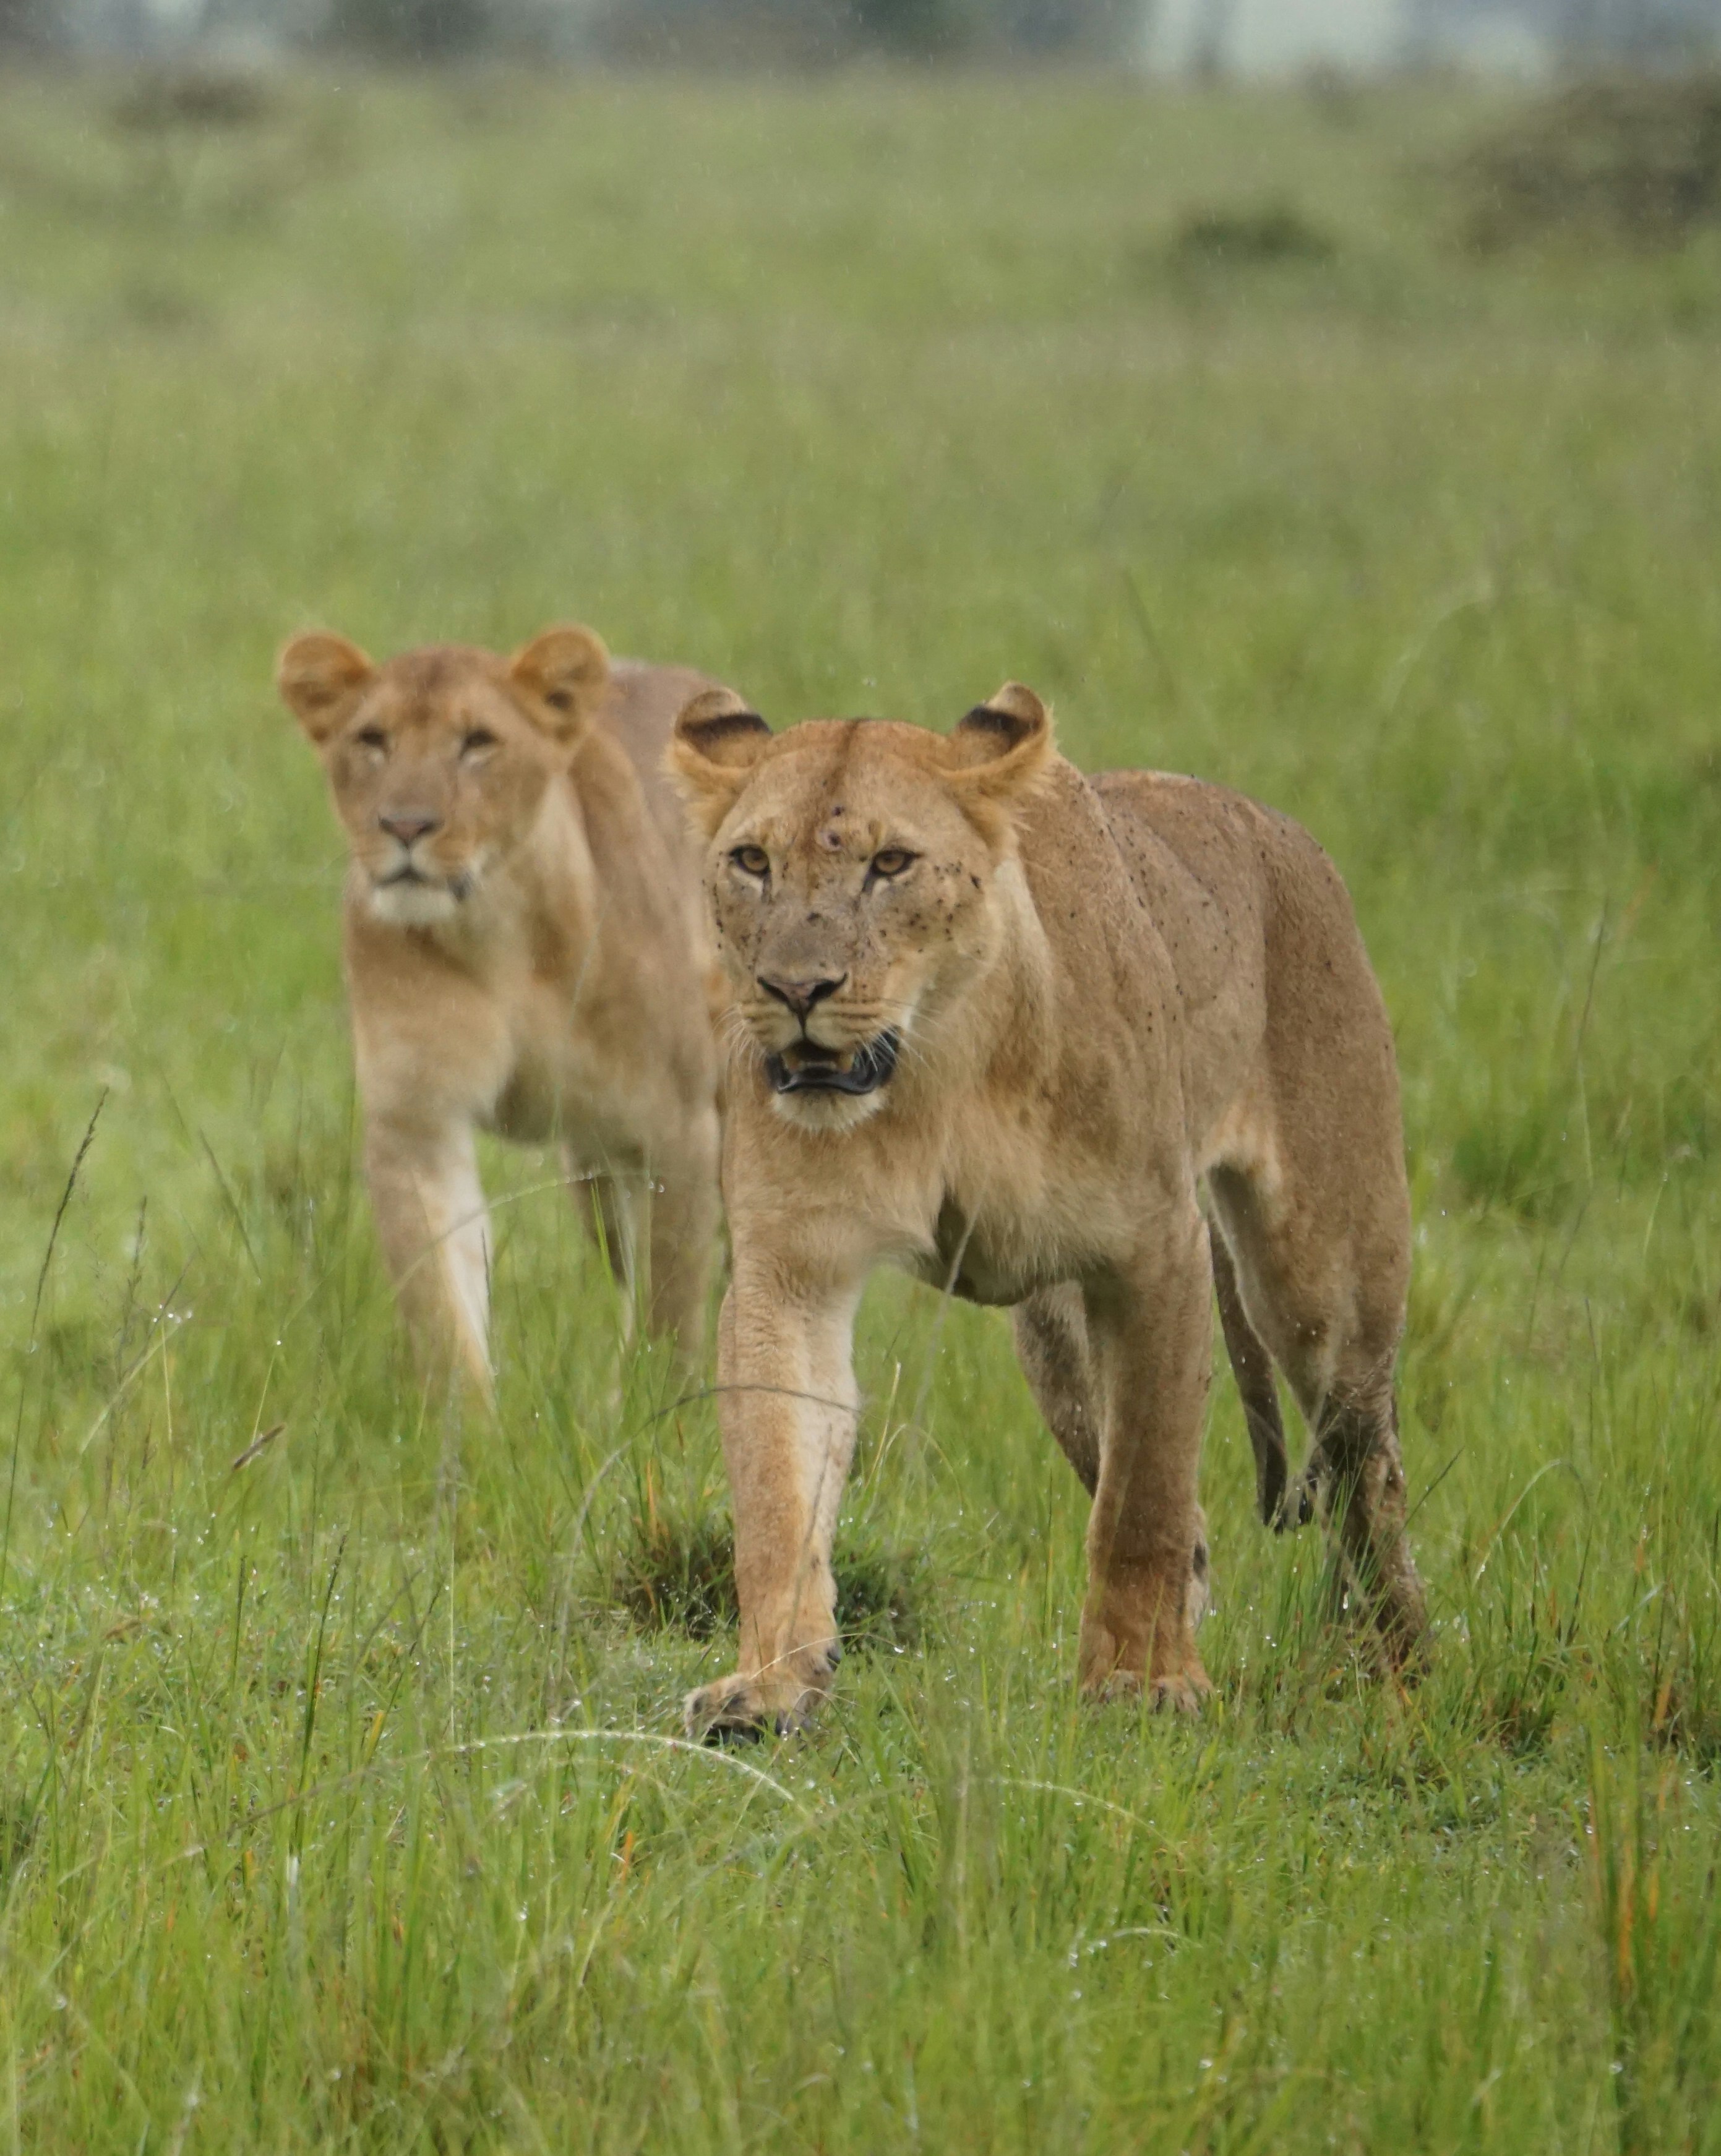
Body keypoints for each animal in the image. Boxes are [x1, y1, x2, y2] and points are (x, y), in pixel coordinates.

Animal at [276, 625, 722, 1394]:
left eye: (478, 741)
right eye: (372, 740)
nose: (405, 825)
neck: (495, 929)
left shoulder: (681, 1128)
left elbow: (673, 1312)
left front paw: (663, 1414)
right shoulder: (418, 1125)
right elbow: (442, 1313)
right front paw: (470, 1424)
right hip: (594, 1168)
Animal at [668, 683, 1428, 1738]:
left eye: (889, 864)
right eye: (752, 861)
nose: (795, 989)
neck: (935, 1066)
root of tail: (1282, 832)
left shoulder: (1155, 1252)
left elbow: (1142, 1496)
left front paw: (1140, 1684)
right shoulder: (791, 1267)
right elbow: (778, 1488)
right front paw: (771, 1683)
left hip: (1325, 1282)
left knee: (1367, 1462)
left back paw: (1402, 1666)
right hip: (1056, 1346)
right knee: (1192, 1507)